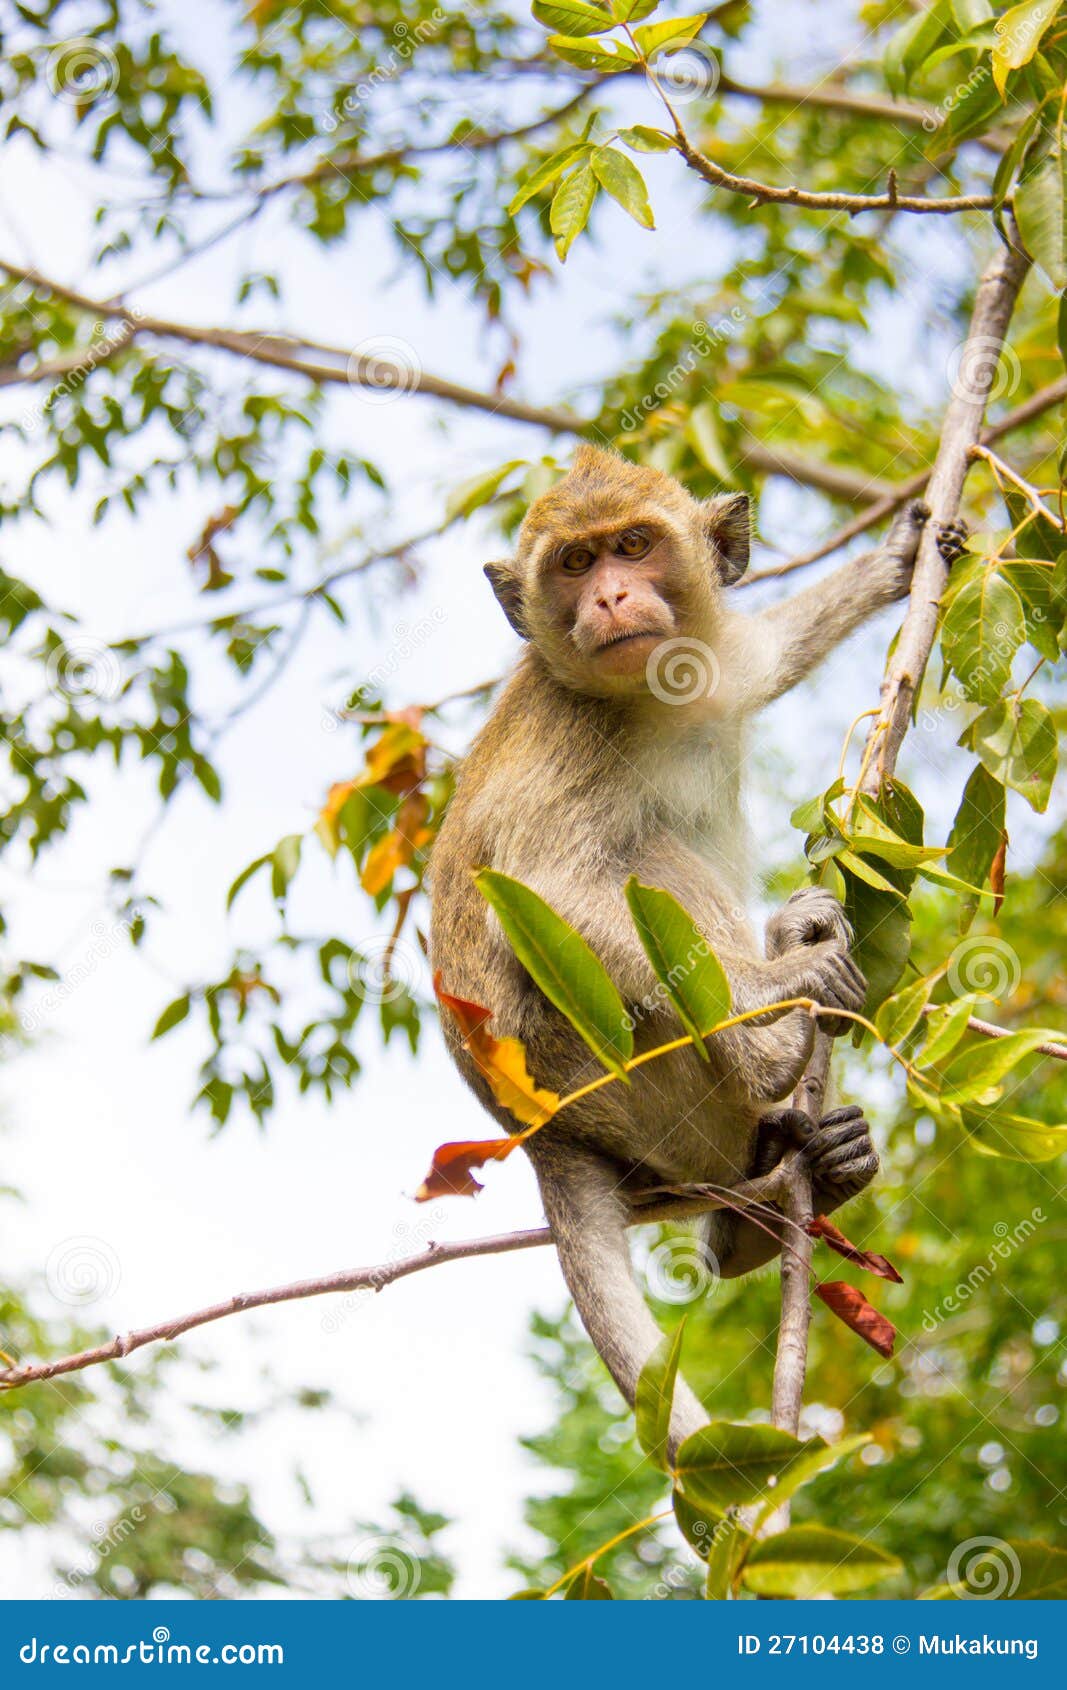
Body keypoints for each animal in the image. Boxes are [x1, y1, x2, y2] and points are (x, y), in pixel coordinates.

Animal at [430, 444, 940, 1455]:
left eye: (632, 546)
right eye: (573, 564)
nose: (609, 597)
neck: (646, 696)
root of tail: (547, 1136)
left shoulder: (720, 661)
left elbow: (773, 650)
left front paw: (897, 554)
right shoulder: (568, 737)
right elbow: (551, 892)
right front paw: (781, 992)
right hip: (616, 1073)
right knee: (647, 865)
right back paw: (773, 1043)